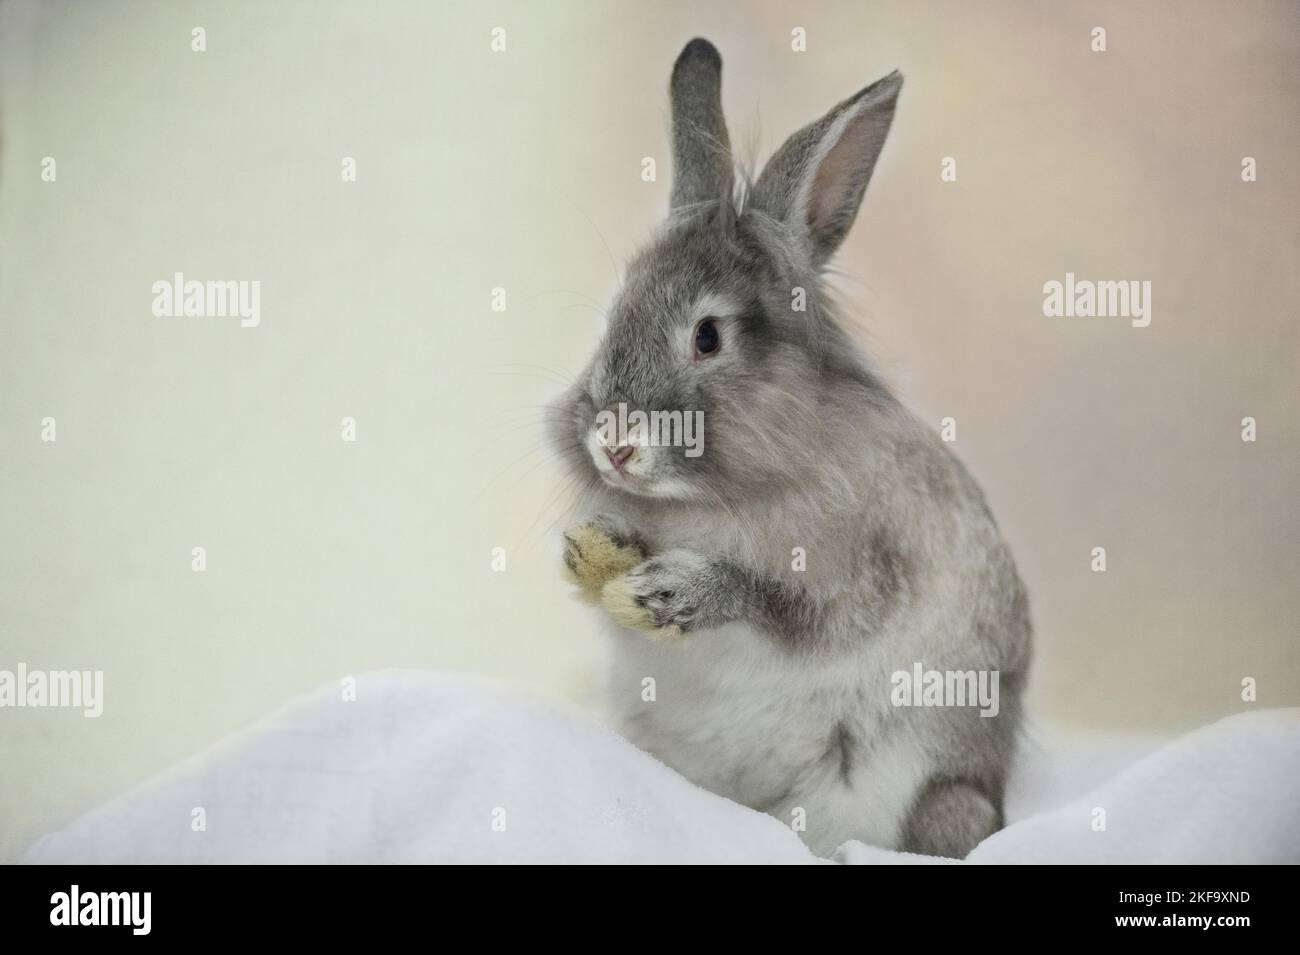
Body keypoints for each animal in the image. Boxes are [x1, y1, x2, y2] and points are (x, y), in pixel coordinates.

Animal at [548, 38, 1031, 859]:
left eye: (709, 336)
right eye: (616, 314)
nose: (614, 444)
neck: (710, 496)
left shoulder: (846, 585)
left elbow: (770, 601)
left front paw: (665, 592)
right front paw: (594, 552)